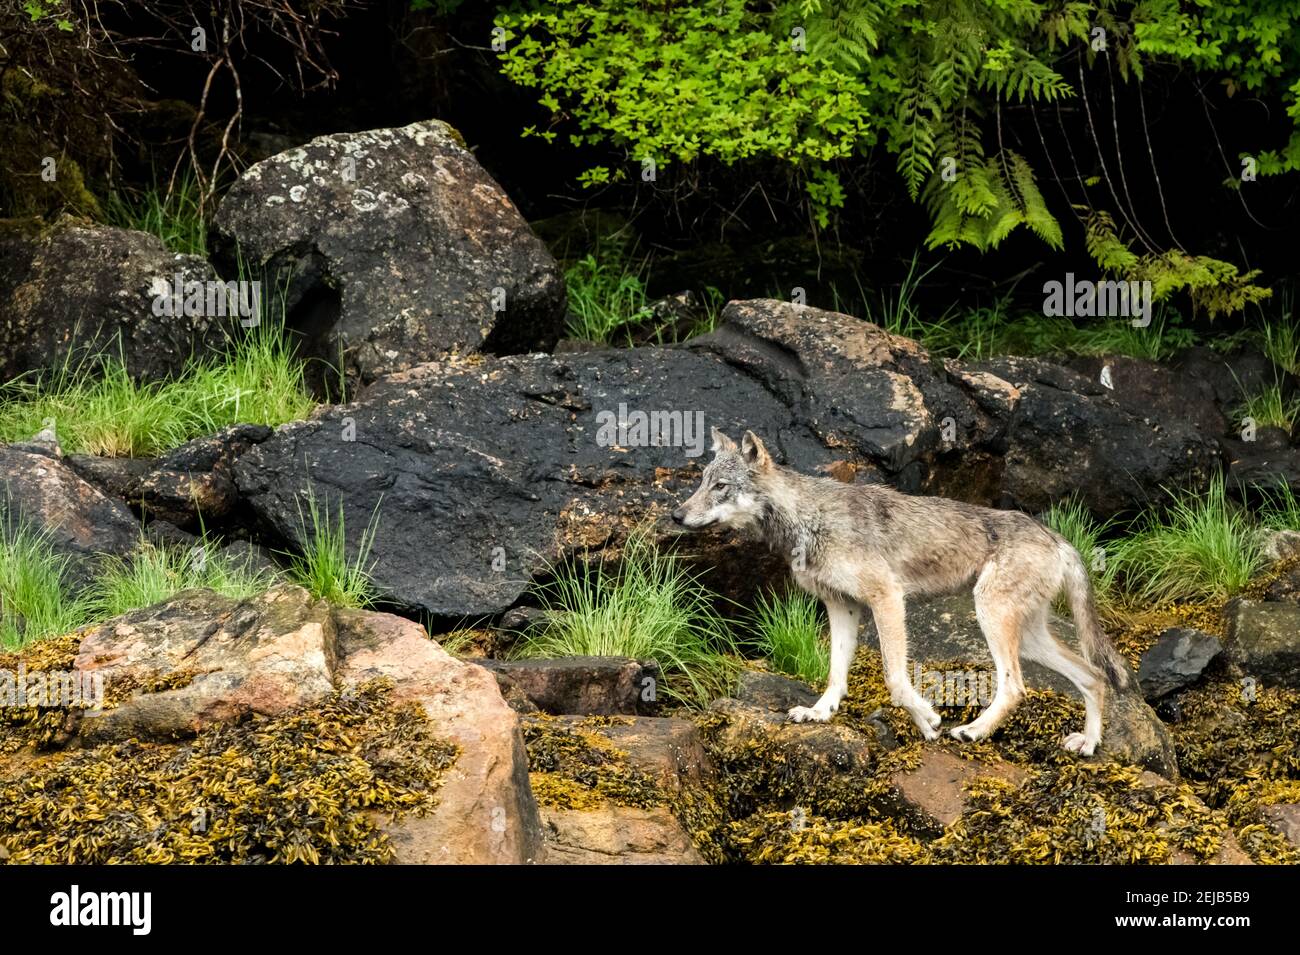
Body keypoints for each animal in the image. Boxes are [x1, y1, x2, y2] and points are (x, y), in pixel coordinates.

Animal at [671, 428, 1129, 755]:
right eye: (702, 482)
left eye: (721, 487)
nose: (676, 515)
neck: (808, 519)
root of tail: (1057, 538)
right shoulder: (841, 607)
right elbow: (835, 673)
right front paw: (820, 713)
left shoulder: (887, 598)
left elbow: (894, 678)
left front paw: (928, 720)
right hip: (1029, 637)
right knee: (1093, 677)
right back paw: (1089, 744)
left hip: (991, 618)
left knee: (1016, 686)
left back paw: (973, 731)